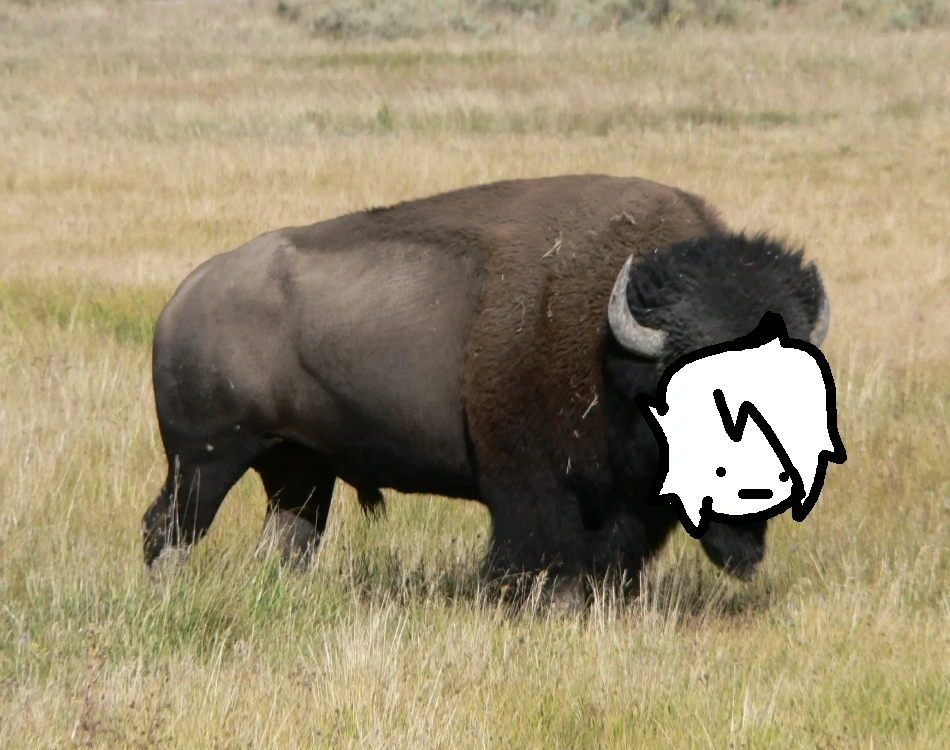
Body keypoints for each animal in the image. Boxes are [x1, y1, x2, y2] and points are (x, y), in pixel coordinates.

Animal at [143, 174, 830, 593]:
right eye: (701, 390)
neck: (609, 345)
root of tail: (183, 298)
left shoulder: (623, 509)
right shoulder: (533, 492)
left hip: (299, 469)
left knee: (287, 541)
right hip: (204, 460)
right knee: (167, 530)